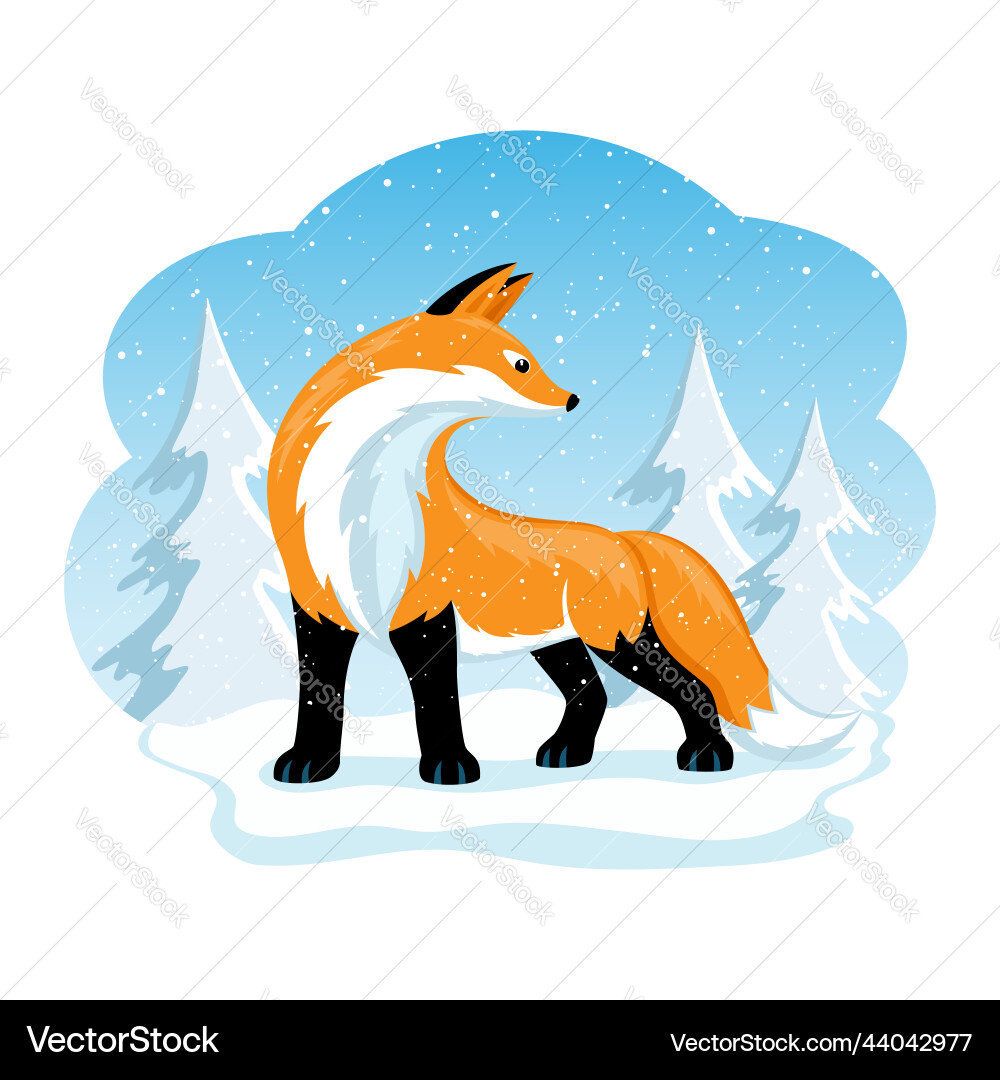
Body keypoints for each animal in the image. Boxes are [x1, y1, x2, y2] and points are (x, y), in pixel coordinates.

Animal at [267, 263, 773, 786]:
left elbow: (436, 700)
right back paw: (567, 752)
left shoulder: (425, 611)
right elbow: (319, 694)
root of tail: (624, 541)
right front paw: (308, 764)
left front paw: (450, 767)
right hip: (558, 645)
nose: (572, 399)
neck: (359, 518)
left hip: (617, 640)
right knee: (593, 693)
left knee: (692, 687)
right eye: (521, 364)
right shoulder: (318, 607)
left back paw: (707, 756)